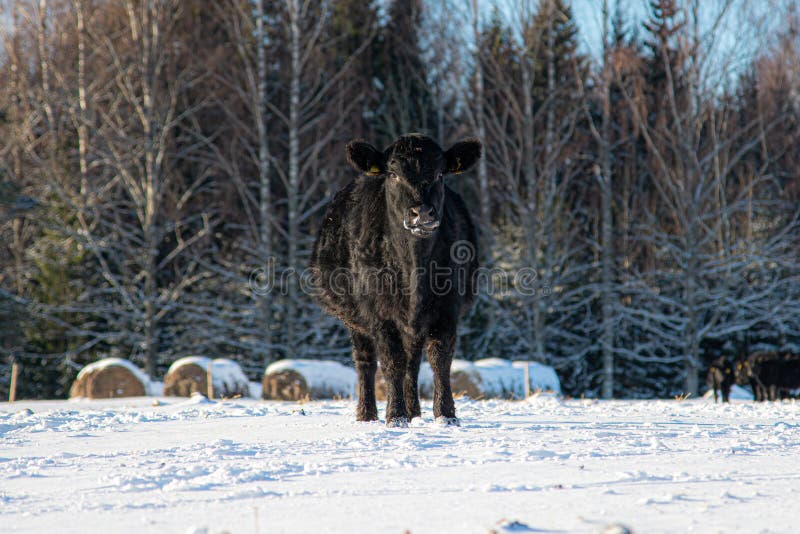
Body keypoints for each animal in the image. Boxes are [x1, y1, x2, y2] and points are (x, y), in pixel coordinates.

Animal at [309, 133, 481, 427]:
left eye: (440, 173)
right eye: (393, 174)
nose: (422, 213)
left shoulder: (448, 308)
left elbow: (440, 358)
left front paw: (445, 415)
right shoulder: (380, 312)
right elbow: (391, 361)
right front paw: (395, 416)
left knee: (412, 362)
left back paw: (414, 412)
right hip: (356, 320)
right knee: (366, 362)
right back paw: (367, 414)